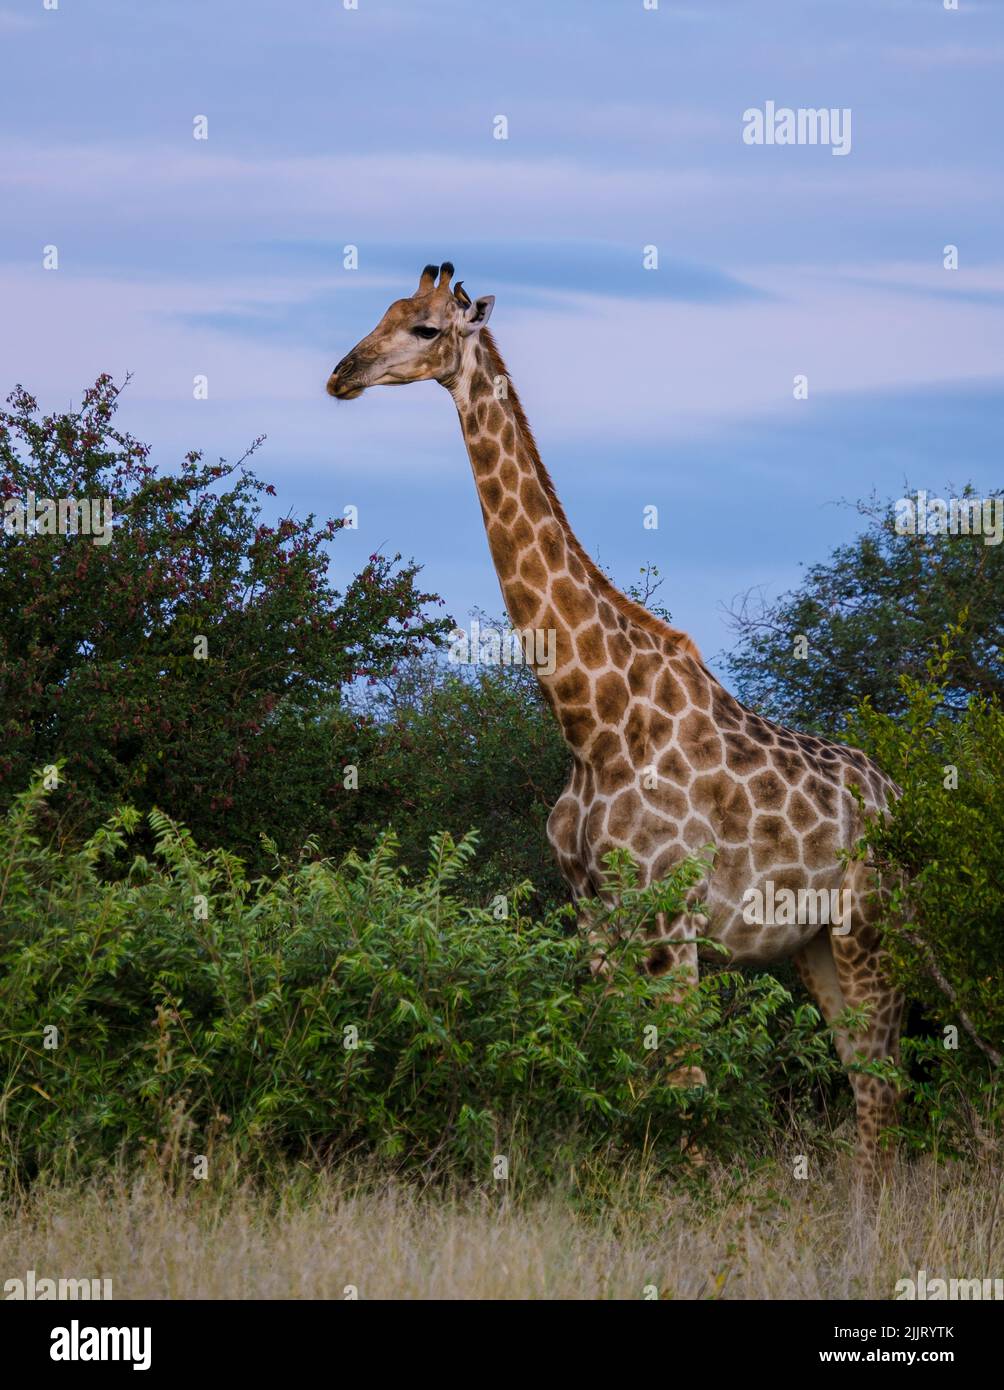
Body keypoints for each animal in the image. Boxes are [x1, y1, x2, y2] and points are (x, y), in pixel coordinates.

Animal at [326, 262, 904, 1178]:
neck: (589, 719)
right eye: (382, 312)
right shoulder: (596, 917)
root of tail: (899, 796)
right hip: (813, 943)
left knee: (885, 1085)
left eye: (426, 328)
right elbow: (624, 1080)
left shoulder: (670, 920)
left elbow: (687, 1087)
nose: (342, 374)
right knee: (865, 1081)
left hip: (868, 926)